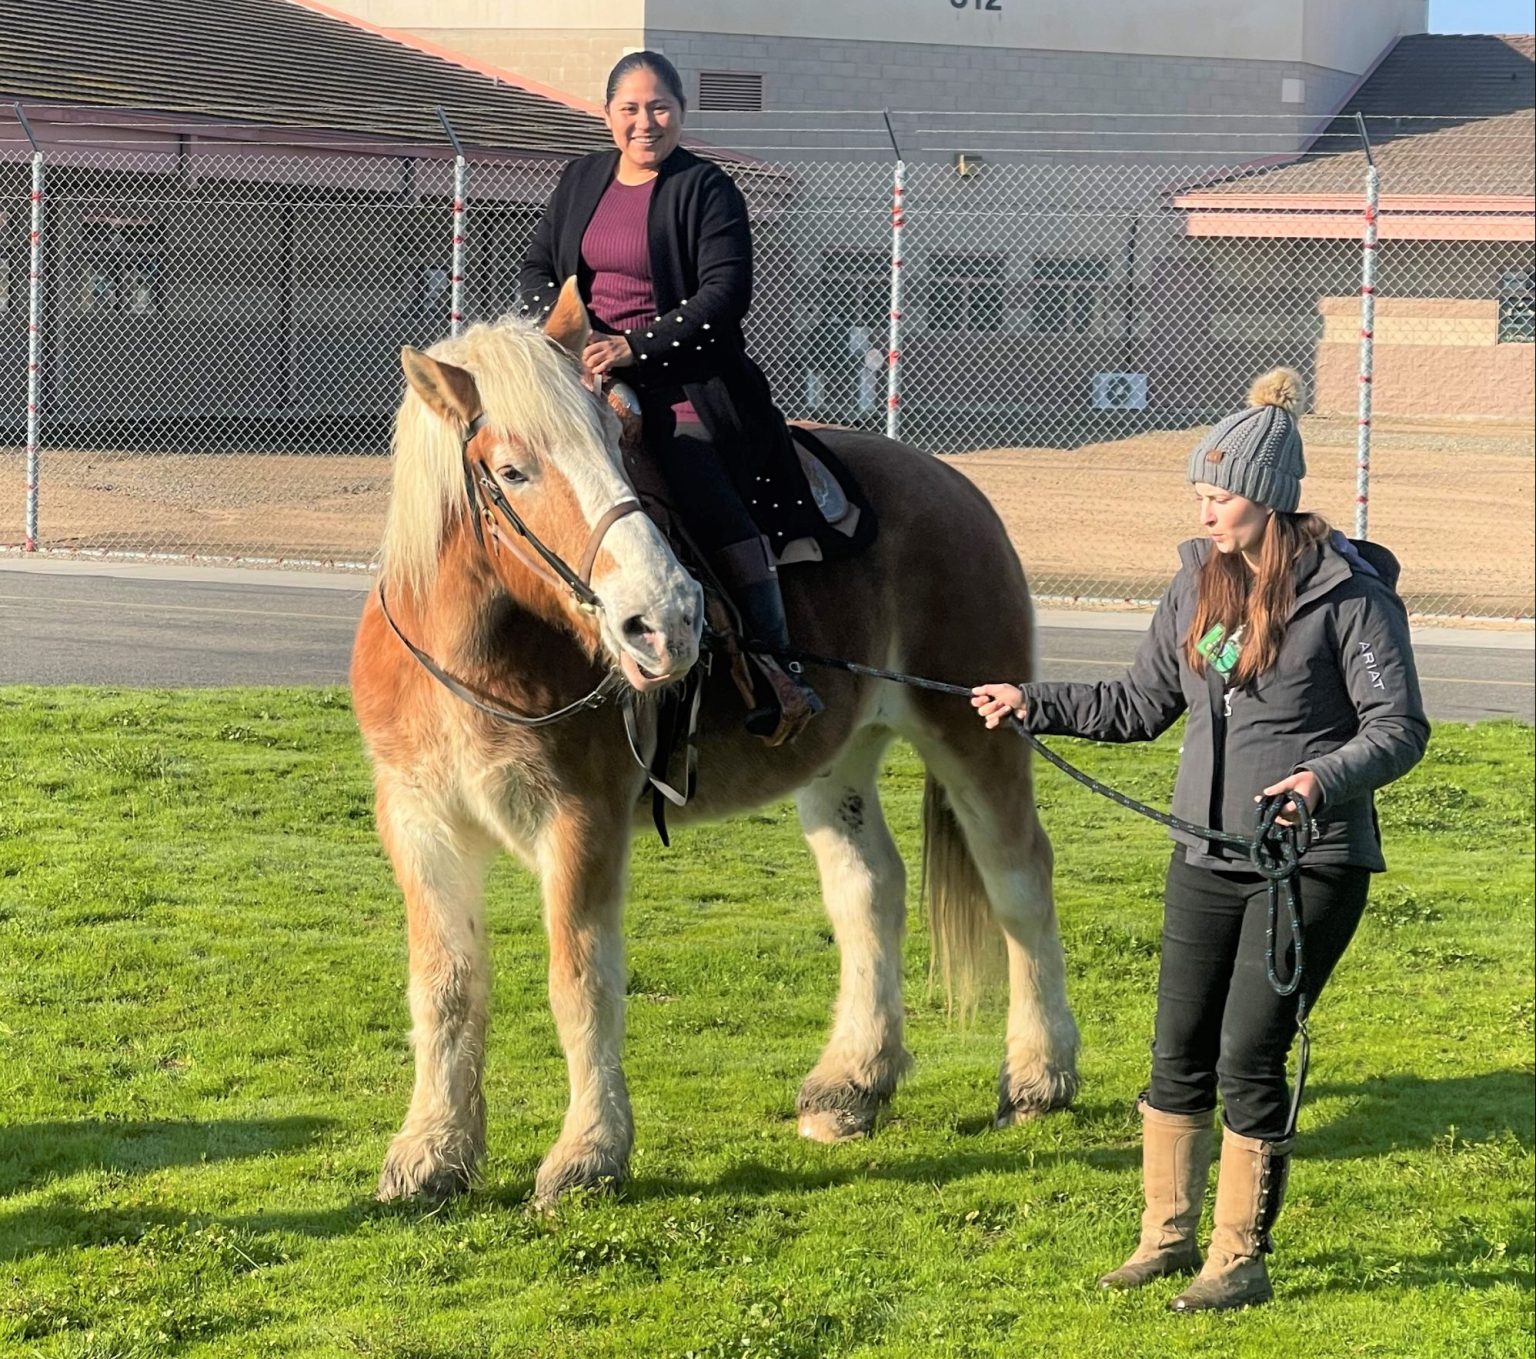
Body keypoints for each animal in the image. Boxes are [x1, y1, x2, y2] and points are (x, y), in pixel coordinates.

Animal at [350, 281, 1080, 1207]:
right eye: (513, 469)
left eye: (616, 447)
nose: (663, 617)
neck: (476, 653)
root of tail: (956, 487)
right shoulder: (421, 824)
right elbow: (446, 985)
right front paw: (431, 1150)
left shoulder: (583, 822)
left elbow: (580, 978)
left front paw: (588, 1153)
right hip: (837, 759)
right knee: (869, 888)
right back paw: (853, 1080)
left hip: (974, 731)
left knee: (1019, 877)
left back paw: (1038, 1074)